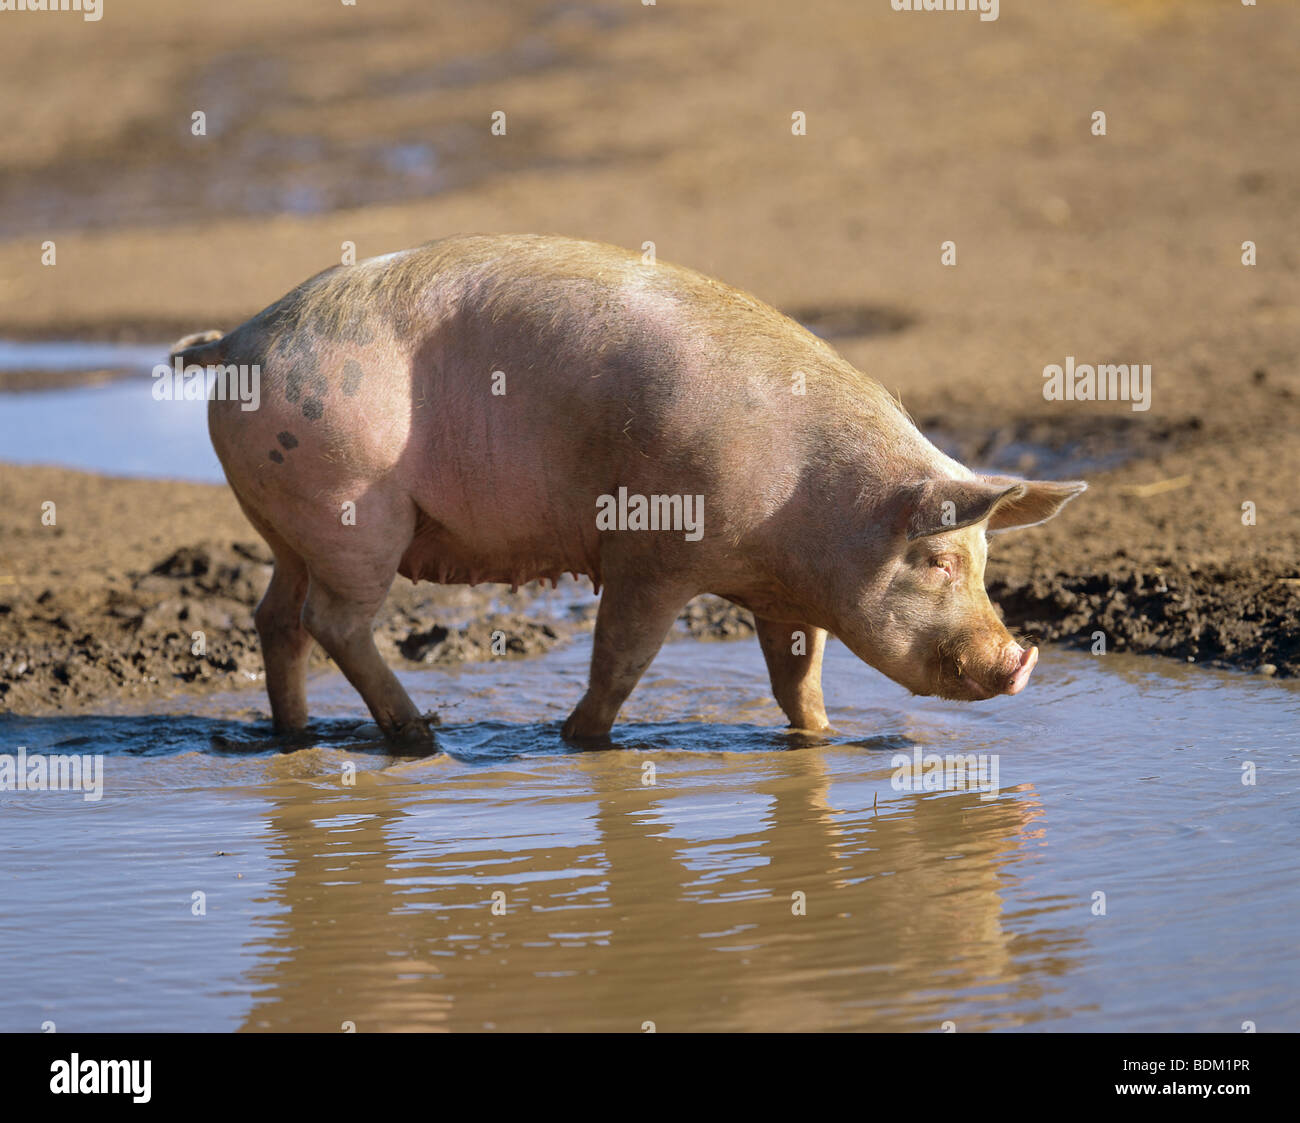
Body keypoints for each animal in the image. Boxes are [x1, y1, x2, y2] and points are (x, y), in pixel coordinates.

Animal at [181, 234, 1085, 748]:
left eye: (982, 560)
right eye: (935, 560)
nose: (1020, 658)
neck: (810, 516)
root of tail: (236, 338)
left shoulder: (788, 597)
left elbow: (798, 678)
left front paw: (825, 740)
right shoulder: (651, 551)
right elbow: (621, 655)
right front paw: (581, 740)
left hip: (290, 522)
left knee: (276, 616)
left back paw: (296, 735)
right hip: (353, 510)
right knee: (333, 620)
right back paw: (421, 739)